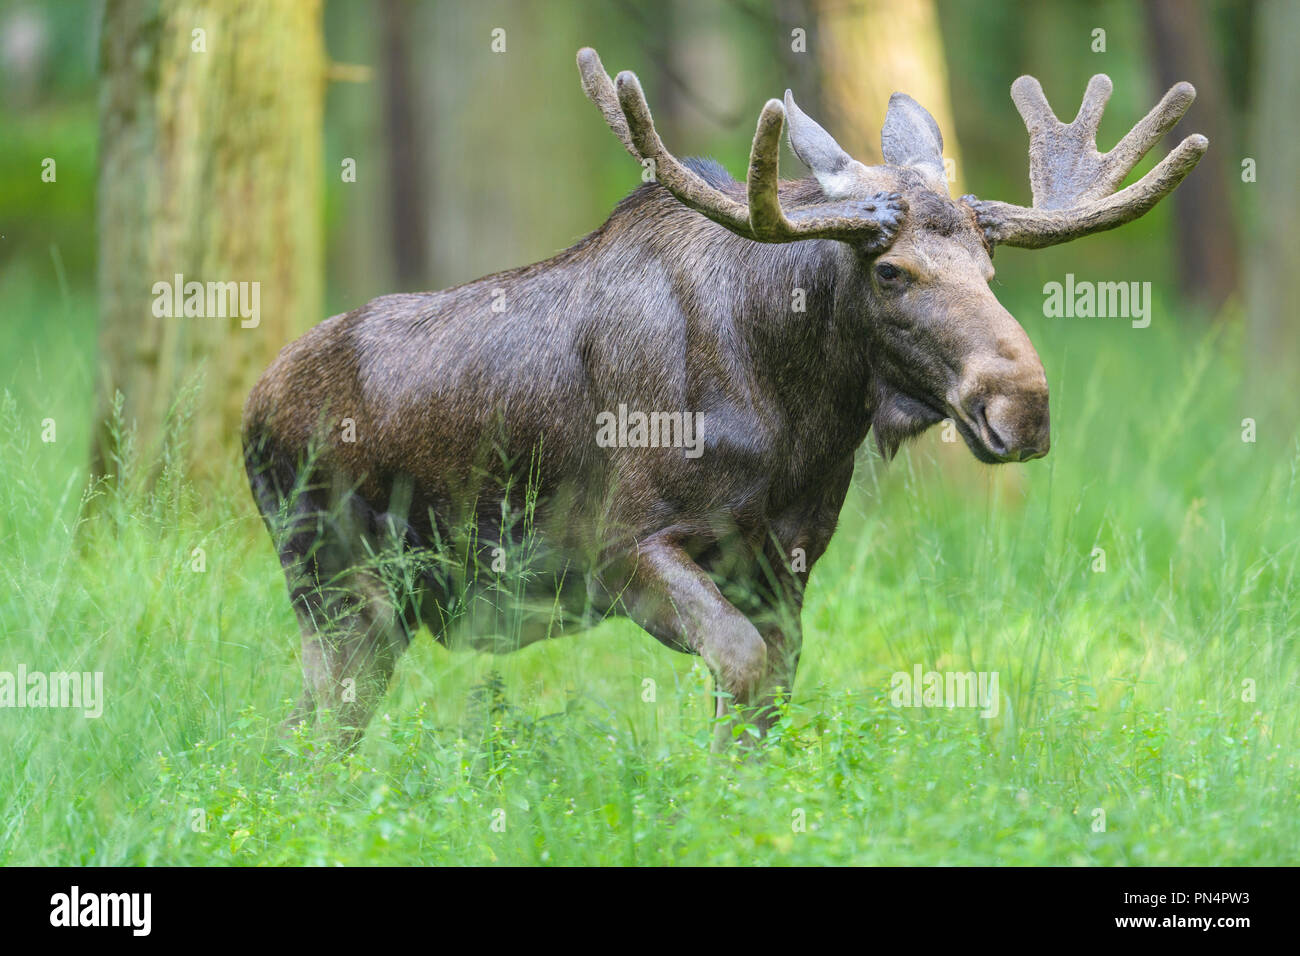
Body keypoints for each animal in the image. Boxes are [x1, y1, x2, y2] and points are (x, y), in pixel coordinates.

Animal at [242, 48, 1206, 751]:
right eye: (891, 272)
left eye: (990, 266)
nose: (1021, 407)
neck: (795, 422)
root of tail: (251, 408)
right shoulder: (619, 543)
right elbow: (739, 666)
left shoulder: (786, 564)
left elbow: (771, 692)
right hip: (338, 586)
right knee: (310, 734)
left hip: (377, 609)